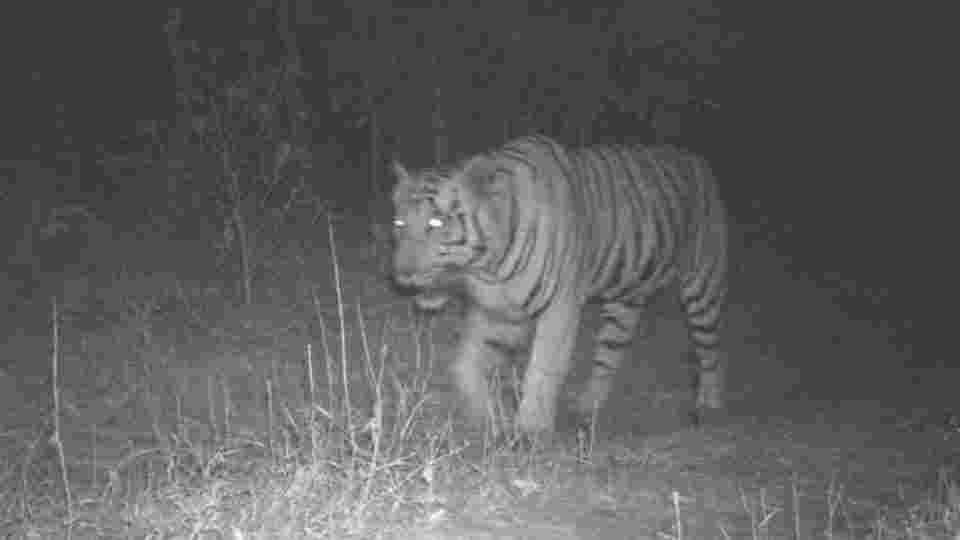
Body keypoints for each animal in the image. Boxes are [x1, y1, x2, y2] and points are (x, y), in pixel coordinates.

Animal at [390, 134, 728, 439]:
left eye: (436, 223)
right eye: (399, 224)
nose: (401, 274)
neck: (487, 269)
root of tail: (698, 160)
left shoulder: (559, 309)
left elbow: (542, 368)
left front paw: (529, 430)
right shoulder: (500, 312)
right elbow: (468, 362)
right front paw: (484, 416)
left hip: (702, 287)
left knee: (711, 351)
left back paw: (708, 404)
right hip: (625, 301)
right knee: (610, 354)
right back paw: (588, 406)